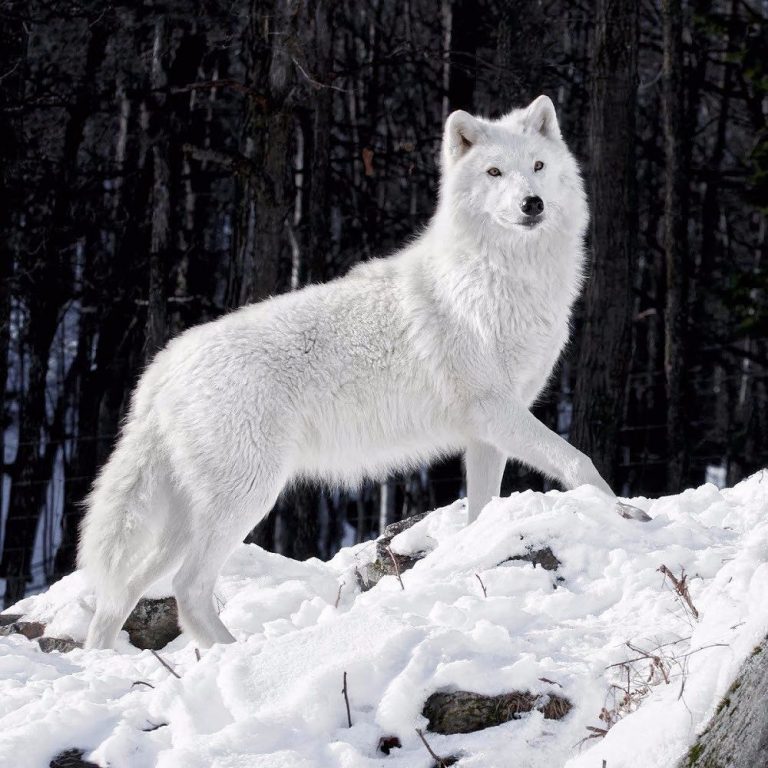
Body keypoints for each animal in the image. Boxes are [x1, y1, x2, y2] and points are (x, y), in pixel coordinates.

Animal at [79, 95, 644, 650]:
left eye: (538, 167)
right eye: (494, 172)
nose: (532, 204)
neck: (502, 279)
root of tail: (162, 366)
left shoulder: (488, 432)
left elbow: (483, 509)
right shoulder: (495, 410)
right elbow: (578, 462)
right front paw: (626, 513)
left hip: (186, 520)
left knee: (121, 592)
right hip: (247, 497)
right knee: (187, 588)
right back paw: (241, 656)